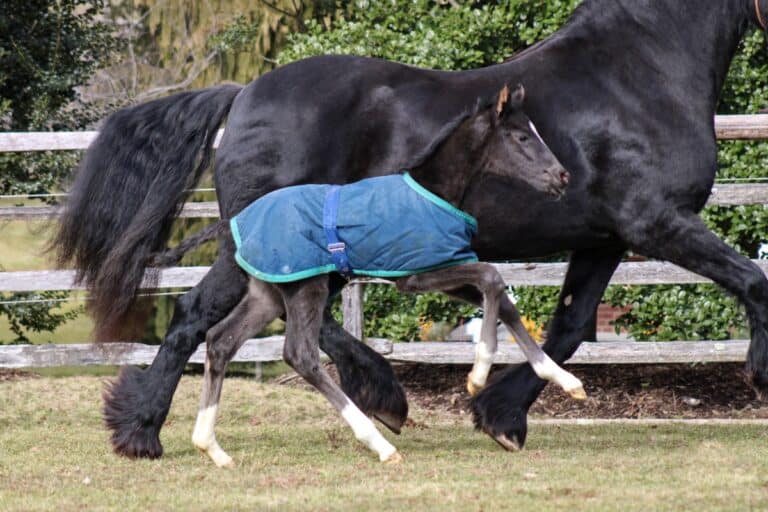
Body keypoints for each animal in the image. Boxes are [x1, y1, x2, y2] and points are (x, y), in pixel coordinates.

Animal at [186, 85, 581, 466]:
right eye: (522, 137)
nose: (563, 176)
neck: (433, 193)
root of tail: (238, 224)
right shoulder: (416, 274)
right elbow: (491, 277)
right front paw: (478, 374)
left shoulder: (443, 268)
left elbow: (502, 301)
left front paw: (566, 380)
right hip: (305, 286)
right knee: (301, 354)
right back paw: (380, 444)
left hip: (268, 292)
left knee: (221, 341)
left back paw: (212, 448)